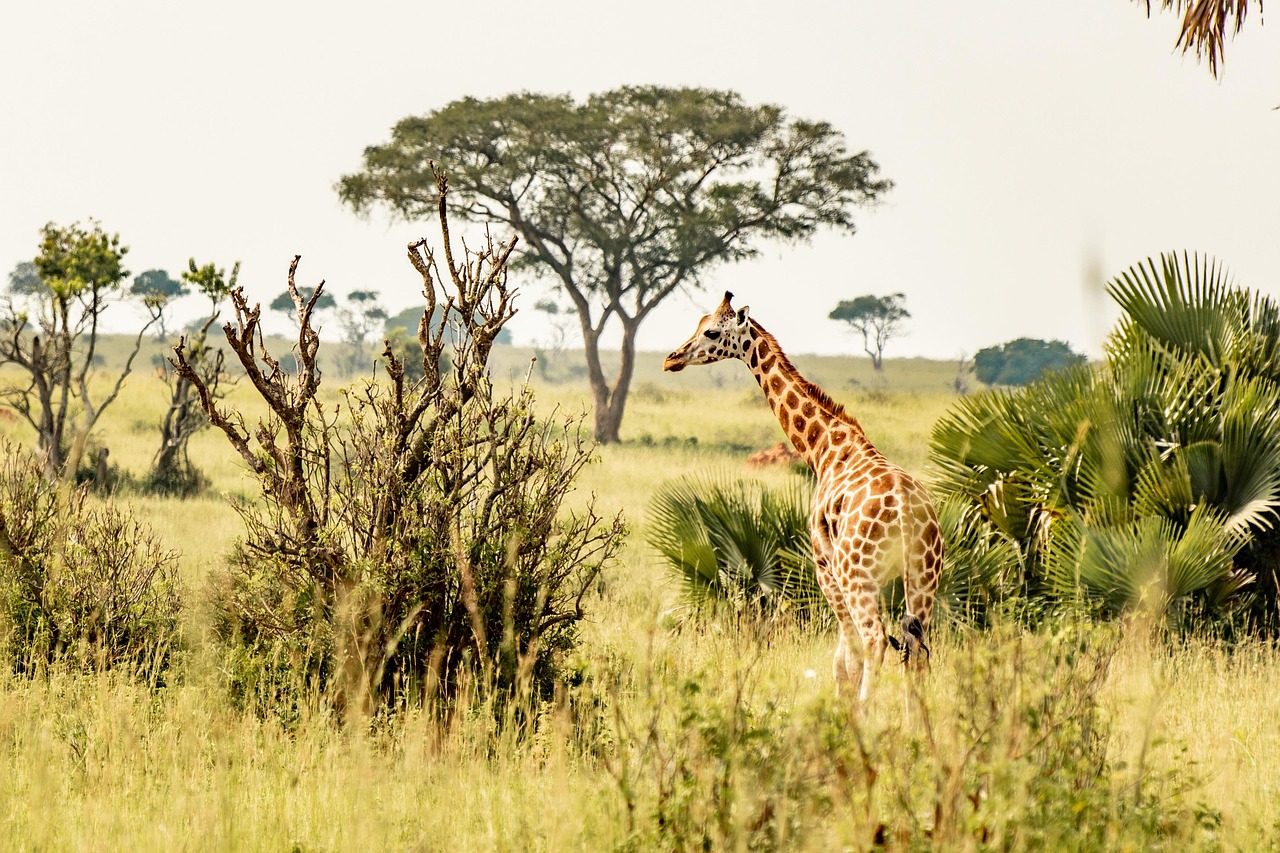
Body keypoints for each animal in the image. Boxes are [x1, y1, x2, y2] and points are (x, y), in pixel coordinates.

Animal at [663, 292, 944, 702]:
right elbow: (848, 658)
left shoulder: (824, 567)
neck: (824, 447)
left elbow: (845, 660)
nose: (672, 358)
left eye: (711, 331)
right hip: (924, 575)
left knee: (875, 640)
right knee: (917, 652)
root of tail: (908, 513)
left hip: (859, 576)